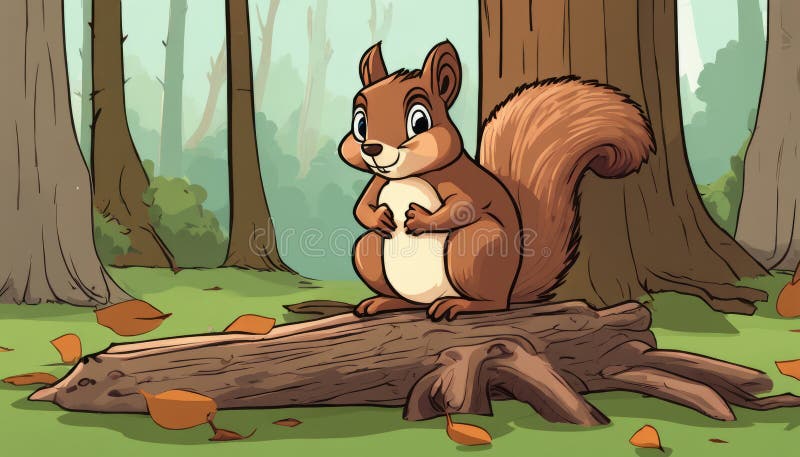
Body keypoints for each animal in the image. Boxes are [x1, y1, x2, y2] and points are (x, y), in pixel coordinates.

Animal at [339, 41, 655, 321]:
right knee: (385, 268)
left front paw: (419, 219)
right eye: (360, 122)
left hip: (474, 250)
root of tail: (511, 285)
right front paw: (378, 217)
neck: (408, 176)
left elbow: (462, 208)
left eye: (420, 121)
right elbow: (361, 207)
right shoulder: (377, 182)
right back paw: (384, 301)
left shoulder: (460, 181)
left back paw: (460, 305)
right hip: (368, 250)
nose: (372, 148)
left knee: (495, 302)